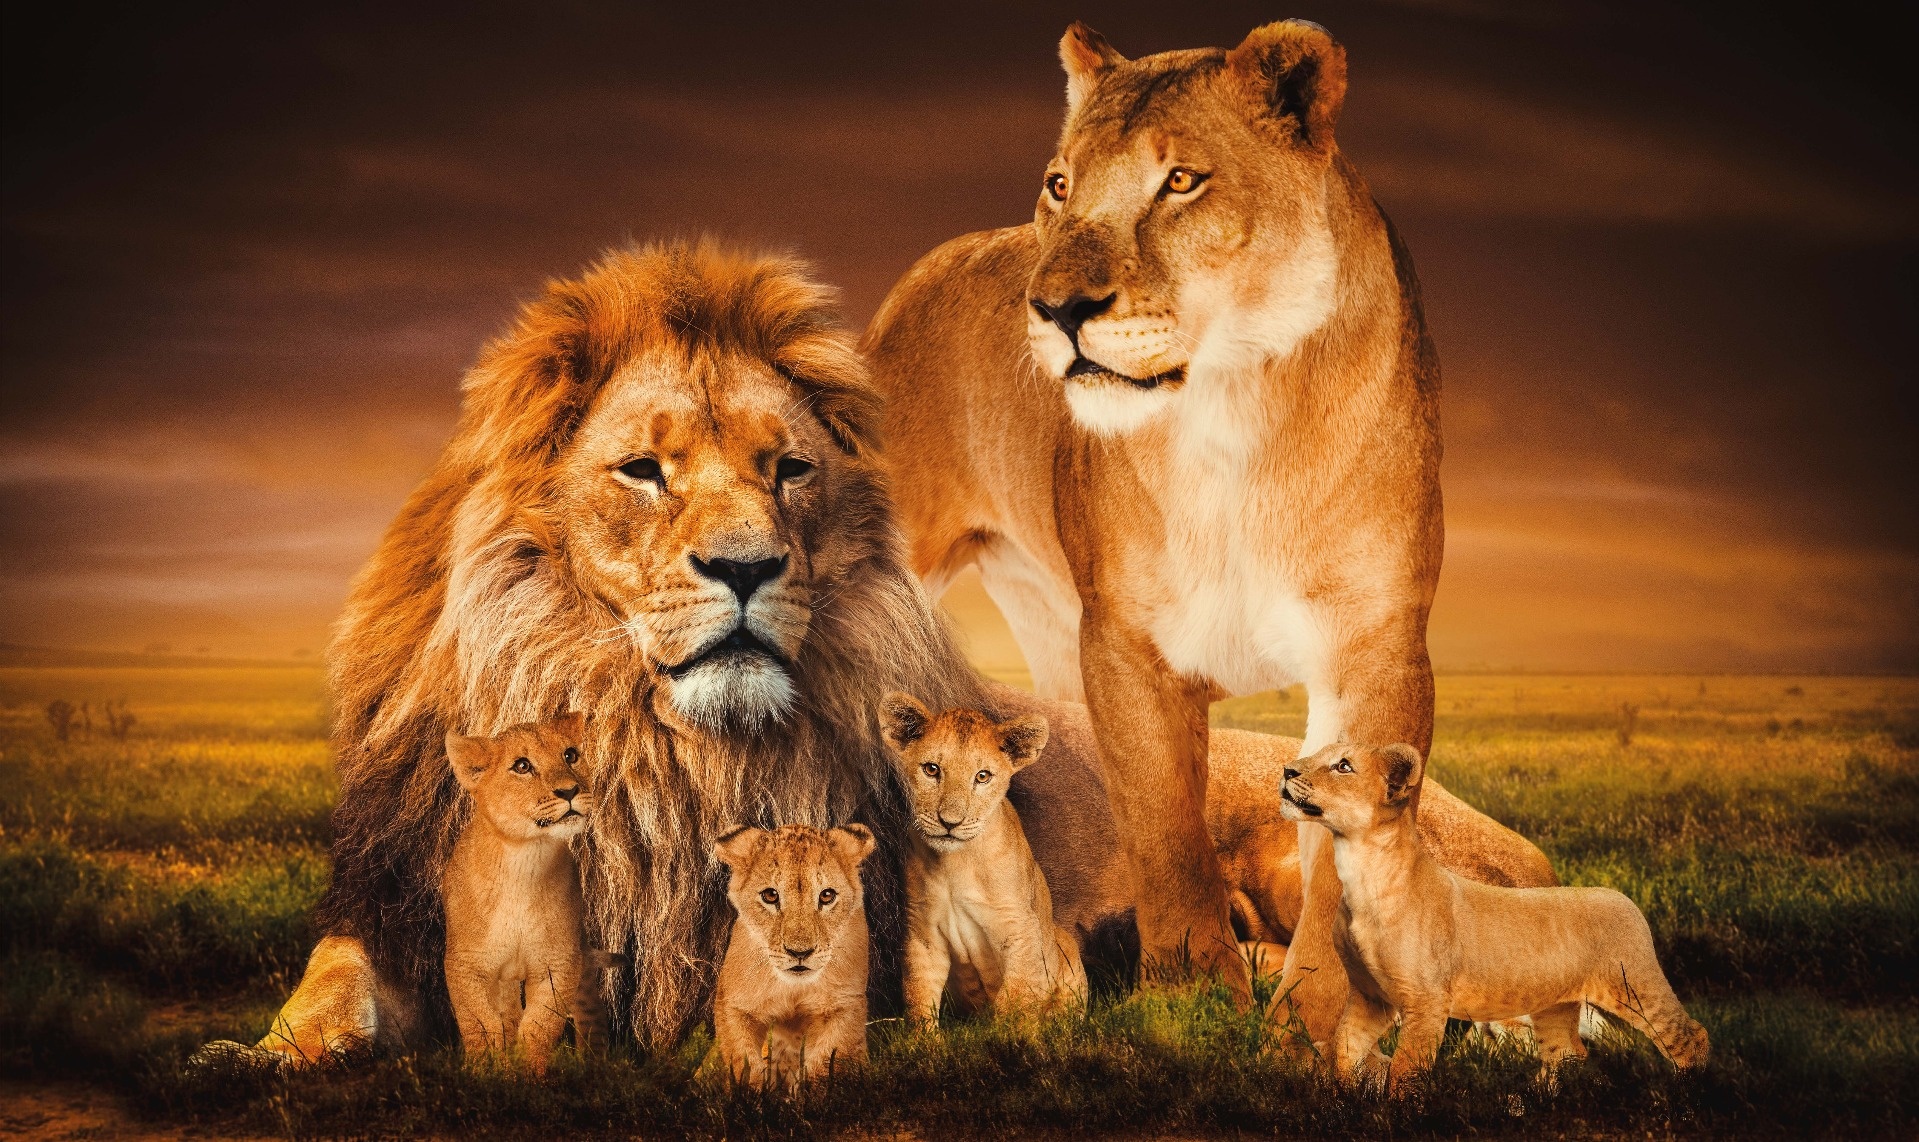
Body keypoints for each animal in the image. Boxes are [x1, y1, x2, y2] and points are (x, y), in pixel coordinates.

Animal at [441, 713, 592, 1072]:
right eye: (522, 766)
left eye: (570, 755)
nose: (570, 790)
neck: (525, 861)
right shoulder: (465, 964)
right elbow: (481, 1024)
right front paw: (488, 1072)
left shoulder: (560, 962)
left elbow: (540, 1025)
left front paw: (530, 1072)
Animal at [705, 823, 875, 1087]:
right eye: (770, 895)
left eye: (827, 895)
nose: (800, 952)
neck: (794, 987)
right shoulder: (733, 1004)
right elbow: (743, 1059)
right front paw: (749, 1094)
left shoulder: (846, 1004)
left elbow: (825, 1064)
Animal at [879, 693, 1086, 1022]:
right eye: (932, 769)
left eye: (982, 776)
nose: (950, 822)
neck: (954, 864)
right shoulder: (922, 932)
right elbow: (919, 997)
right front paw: (922, 1034)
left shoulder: (1021, 927)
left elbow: (1016, 1001)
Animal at [1280, 744, 1709, 1087]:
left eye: (1343, 766)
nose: (1286, 771)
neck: (1358, 867)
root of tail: (1624, 898)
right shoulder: (1370, 995)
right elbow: (1343, 1051)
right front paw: (1344, 1102)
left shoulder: (1426, 1002)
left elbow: (1407, 1070)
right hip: (1555, 1005)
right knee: (1566, 1053)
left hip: (1635, 988)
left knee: (1691, 1037)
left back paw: (1682, 1102)